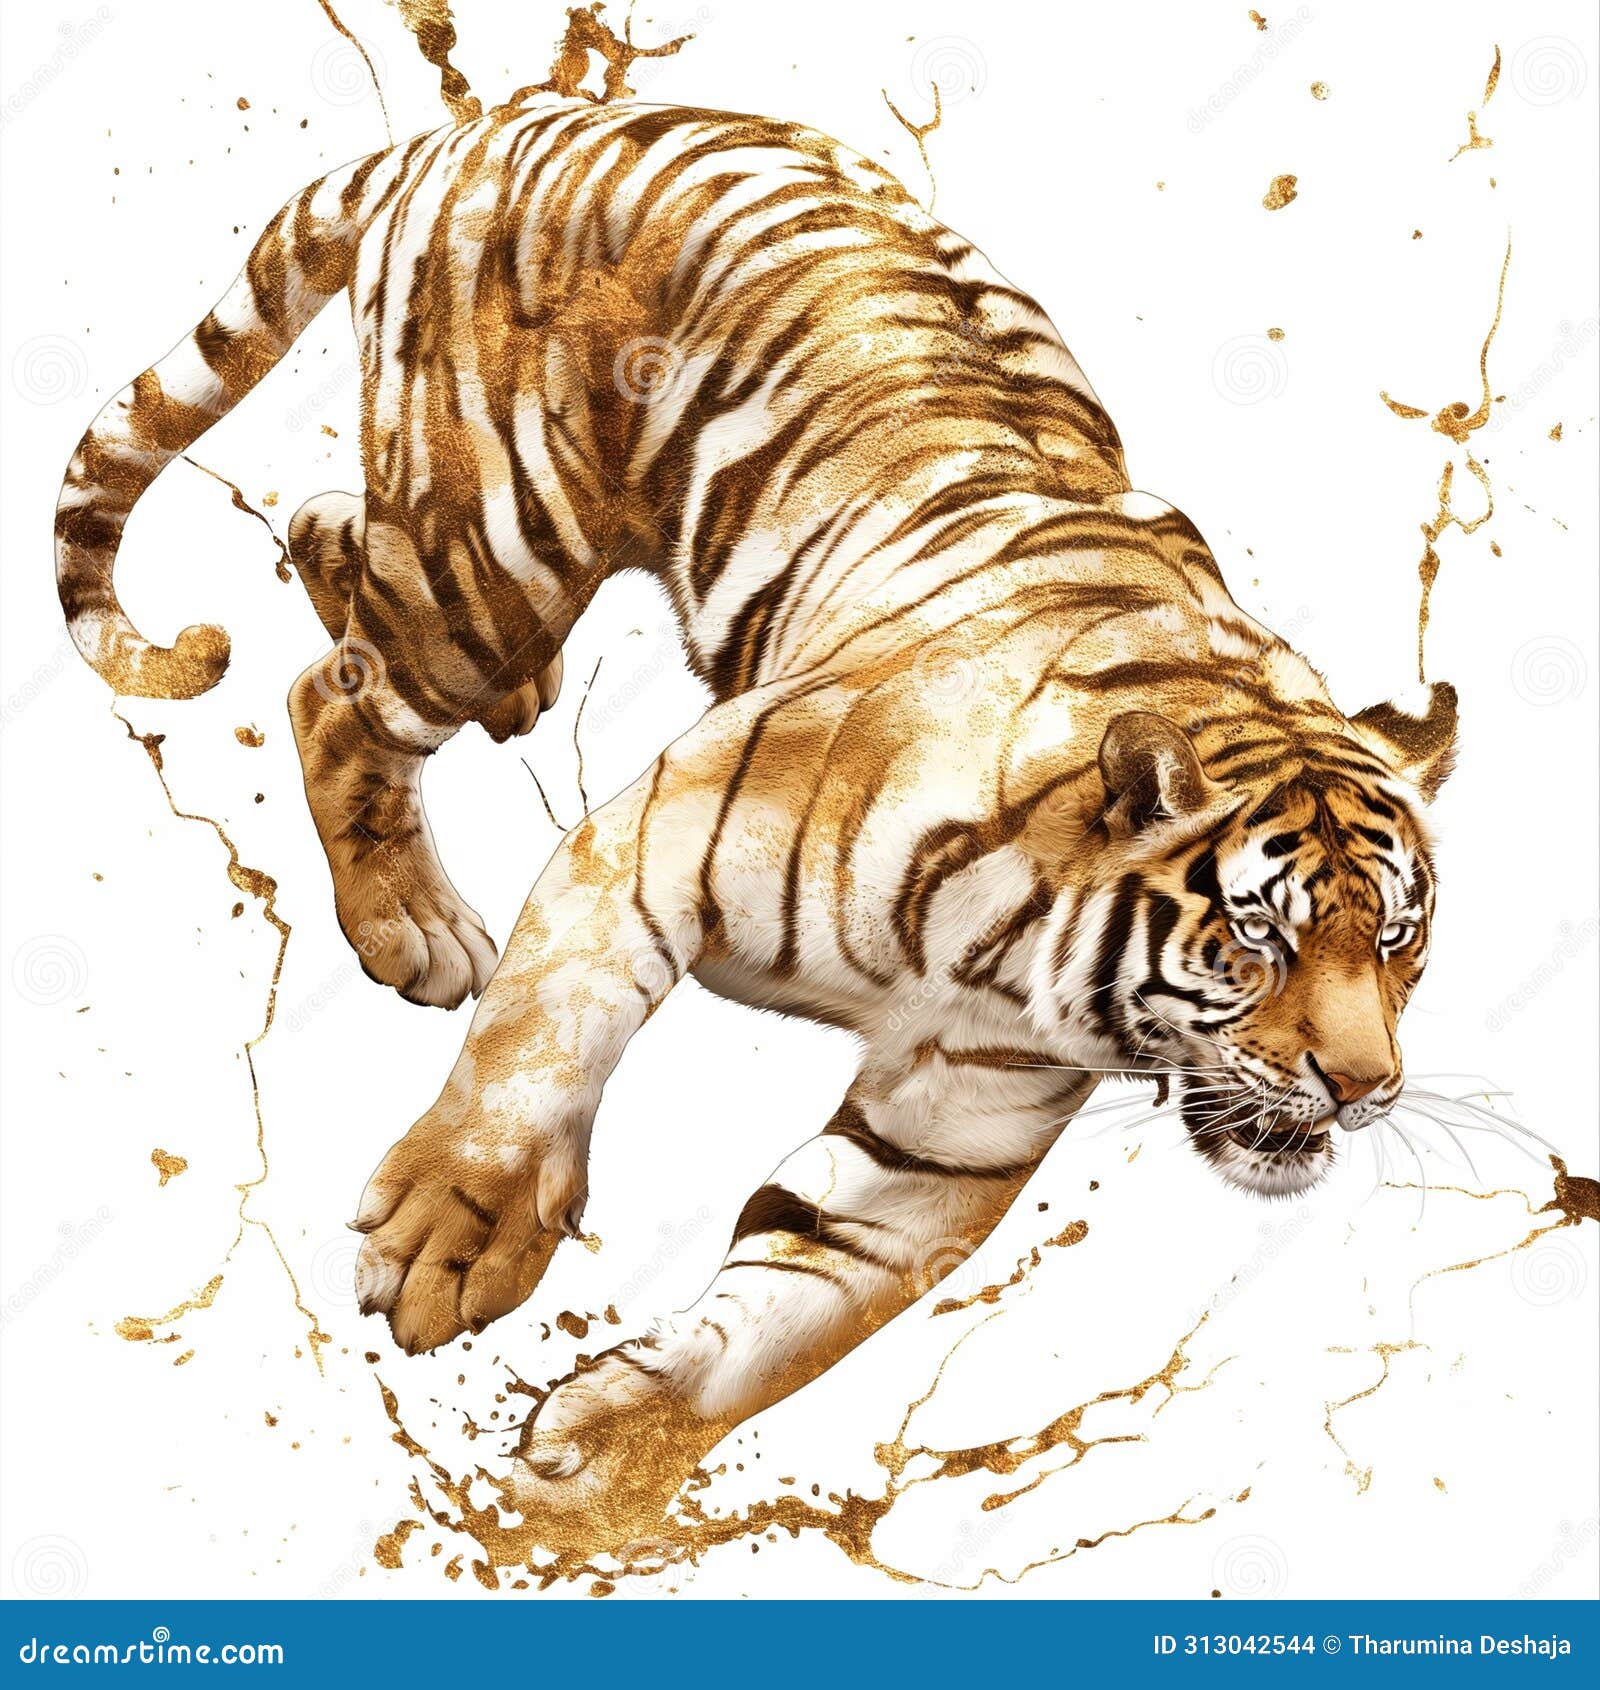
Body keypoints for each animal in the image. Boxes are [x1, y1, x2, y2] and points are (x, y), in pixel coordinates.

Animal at [54, 91, 1457, 1551]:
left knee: (329, 530)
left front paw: (602, 1469)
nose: (1366, 1087)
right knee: (331, 700)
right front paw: (452, 1235)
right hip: (486, 560)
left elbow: (801, 1299)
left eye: (1399, 942)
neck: (1013, 954)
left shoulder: (953, 1123)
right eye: (1259, 936)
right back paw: (414, 927)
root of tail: (493, 117)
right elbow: (537, 1046)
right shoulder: (650, 839)